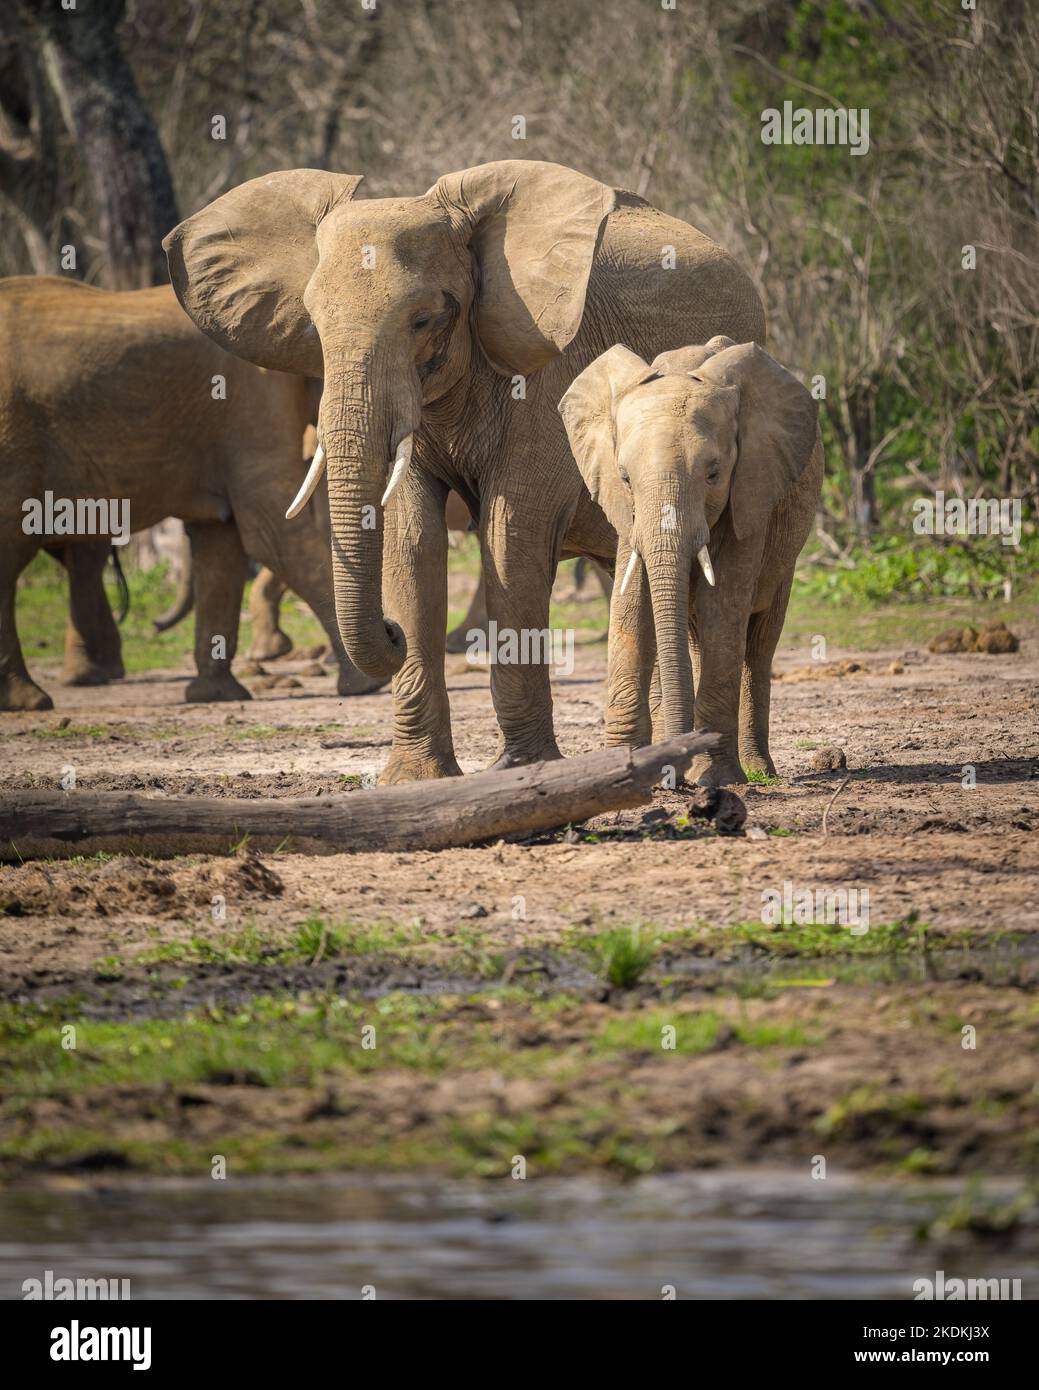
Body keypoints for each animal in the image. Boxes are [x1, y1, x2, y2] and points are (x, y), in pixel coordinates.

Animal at [0, 275, 387, 711]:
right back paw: (30, 700)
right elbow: (273, 532)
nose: (153, 625)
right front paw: (368, 685)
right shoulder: (254, 400)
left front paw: (215, 695)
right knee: (13, 550)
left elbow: (223, 546)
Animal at [163, 159, 765, 781]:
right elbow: (410, 539)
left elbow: (511, 535)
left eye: (424, 319)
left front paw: (522, 768)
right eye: (312, 324)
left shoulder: (545, 365)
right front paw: (415, 778)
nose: (390, 631)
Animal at [558, 336, 823, 786]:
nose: (673, 777)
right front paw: (621, 769)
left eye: (714, 473)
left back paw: (757, 770)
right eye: (625, 477)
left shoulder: (750, 493)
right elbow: (630, 609)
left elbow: (724, 608)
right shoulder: (627, 516)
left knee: (758, 641)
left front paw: (715, 778)